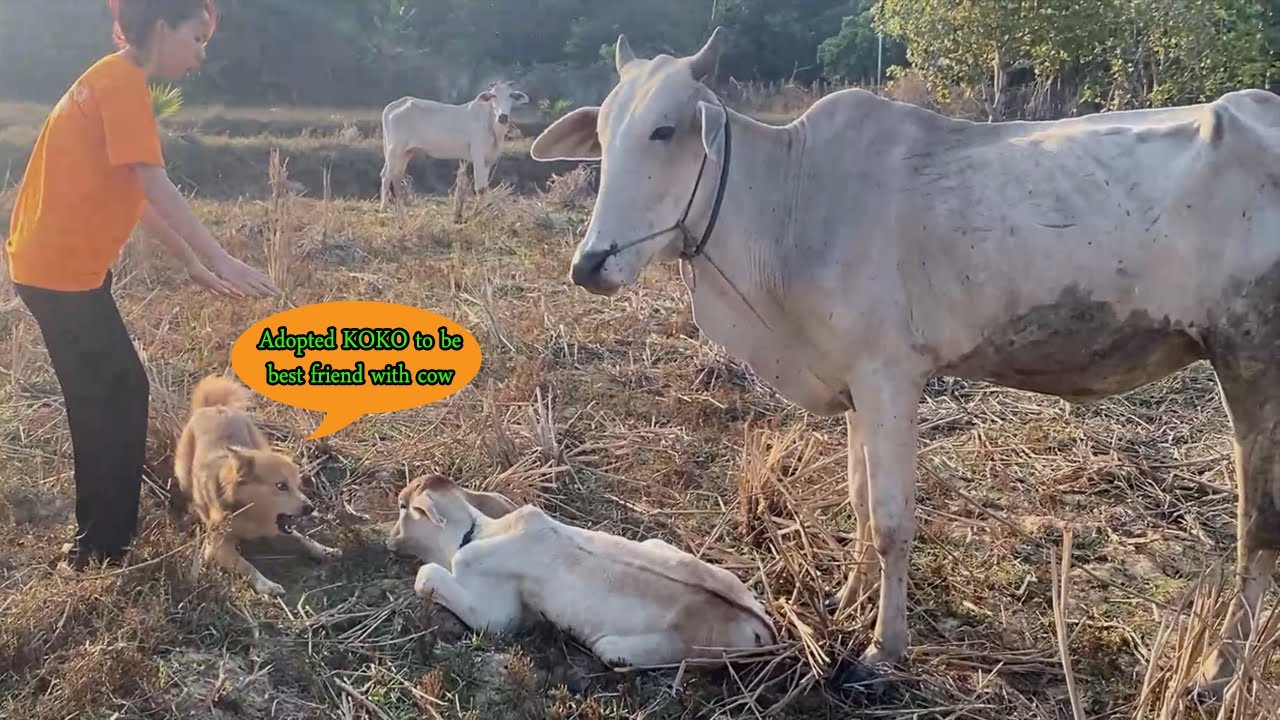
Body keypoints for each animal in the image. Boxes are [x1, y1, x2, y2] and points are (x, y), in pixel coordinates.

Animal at [379, 81, 530, 211]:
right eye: (493, 95)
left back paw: (399, 207)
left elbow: (484, 187)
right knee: (386, 175)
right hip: (395, 150)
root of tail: (397, 103)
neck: (492, 125)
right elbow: (479, 187)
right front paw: (477, 211)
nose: (503, 117)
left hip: (406, 152)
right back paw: (383, 208)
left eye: (511, 95)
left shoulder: (488, 159)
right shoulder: (478, 154)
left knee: (396, 176)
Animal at [529, 26, 1280, 701]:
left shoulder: (889, 377)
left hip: (1252, 363)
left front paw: (881, 651)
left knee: (1258, 530)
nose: (590, 263)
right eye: (602, 137)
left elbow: (891, 521)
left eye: (663, 130)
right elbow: (860, 500)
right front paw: (846, 596)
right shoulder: (855, 384)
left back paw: (1217, 674)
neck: (790, 199)